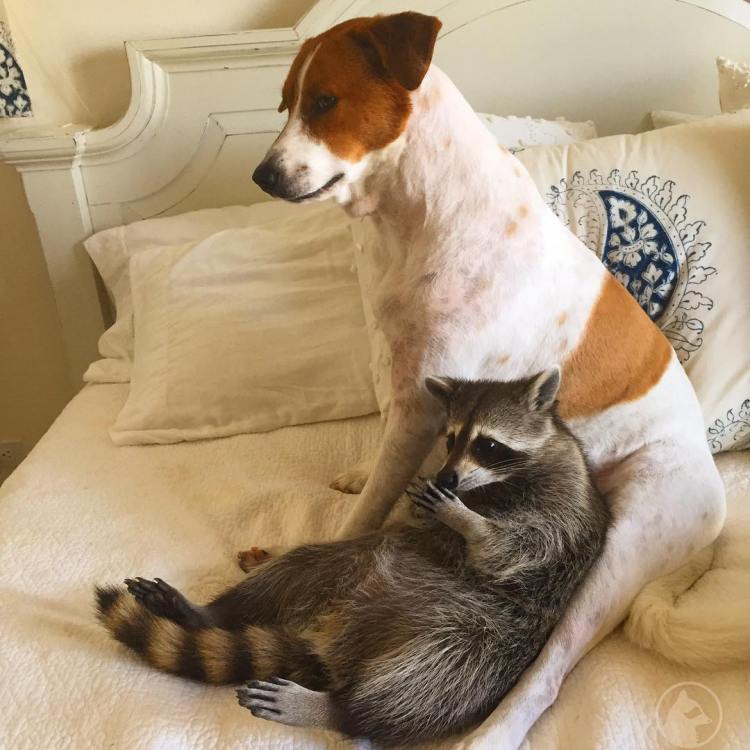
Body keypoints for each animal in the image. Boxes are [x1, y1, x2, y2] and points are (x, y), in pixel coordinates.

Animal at [95, 368, 609, 746]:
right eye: (449, 439)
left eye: (487, 444)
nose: (446, 478)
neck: (493, 486)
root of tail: (334, 642)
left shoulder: (565, 506)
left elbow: (517, 547)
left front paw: (468, 522)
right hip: (350, 566)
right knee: (297, 569)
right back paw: (209, 612)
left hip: (490, 637)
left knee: (437, 678)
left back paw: (339, 710)